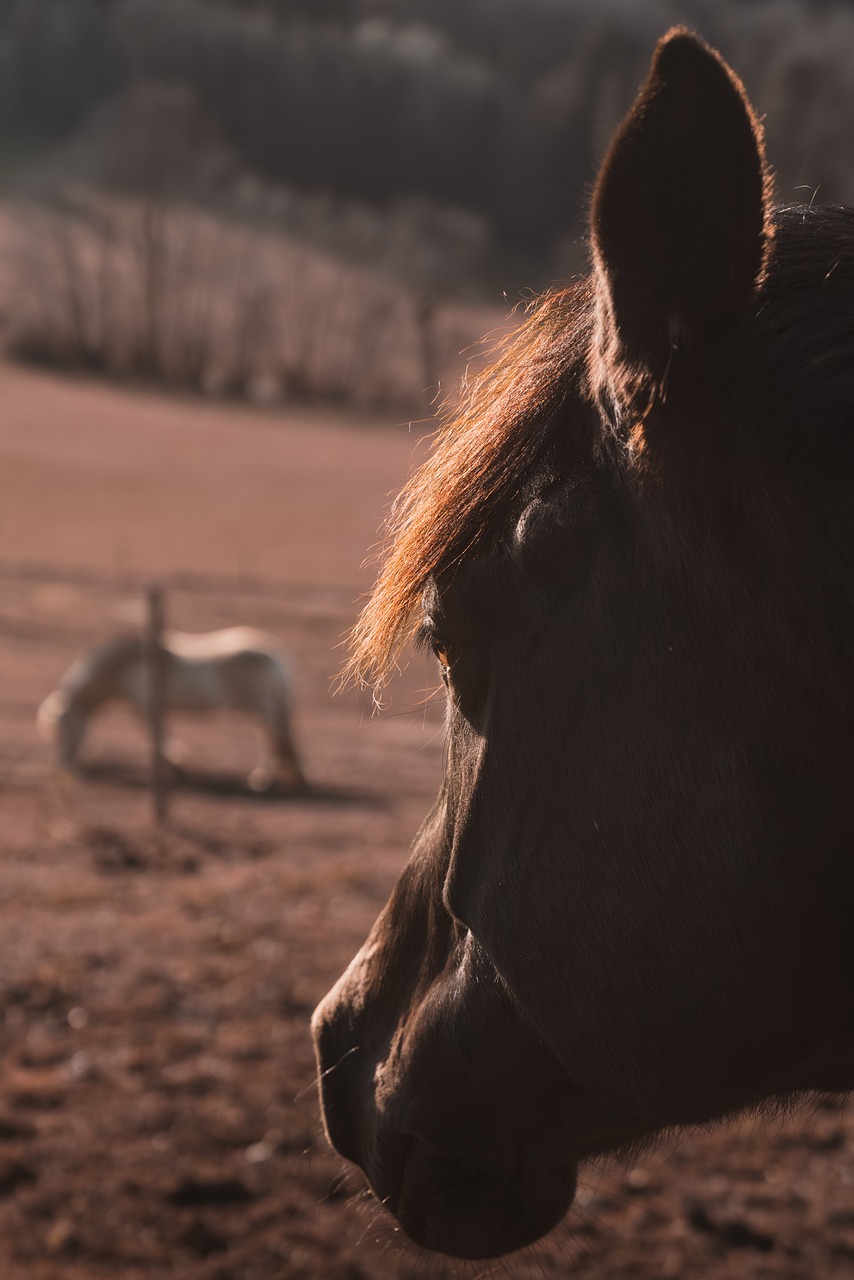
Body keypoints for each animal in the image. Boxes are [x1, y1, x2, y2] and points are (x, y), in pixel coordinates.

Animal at [38, 626, 306, 791]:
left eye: (63, 729)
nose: (59, 764)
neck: (127, 666)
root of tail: (274, 653)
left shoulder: (146, 708)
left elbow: (156, 736)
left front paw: (173, 766)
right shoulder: (151, 709)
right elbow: (160, 734)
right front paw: (175, 765)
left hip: (263, 708)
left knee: (271, 738)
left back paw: (263, 779)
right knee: (271, 737)